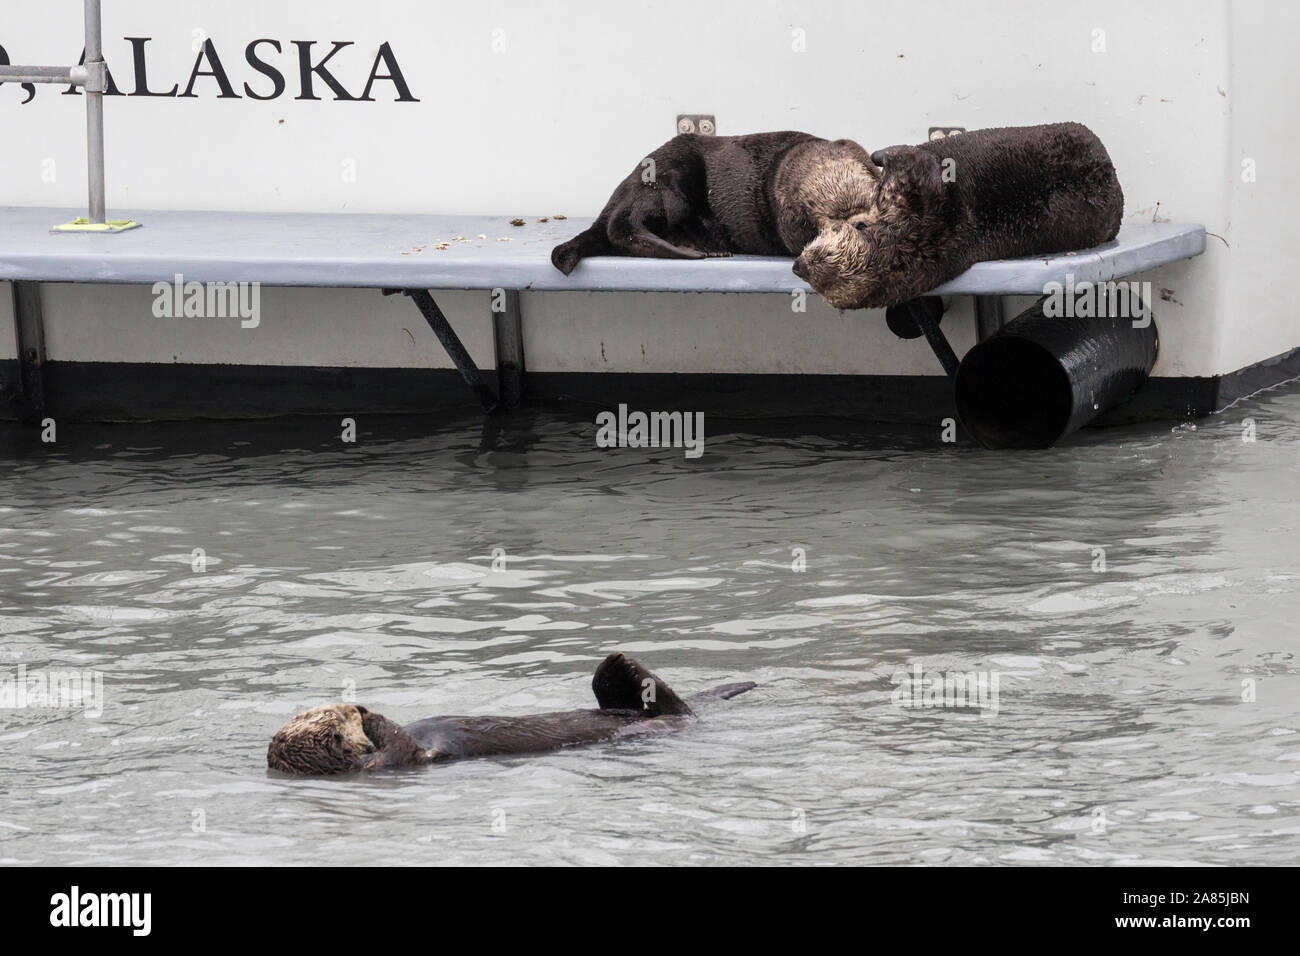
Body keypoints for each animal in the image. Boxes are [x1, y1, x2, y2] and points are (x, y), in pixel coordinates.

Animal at [267, 653, 756, 775]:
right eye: (339, 717)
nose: (354, 705)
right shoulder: (396, 760)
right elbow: (400, 746)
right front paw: (371, 719)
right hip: (672, 719)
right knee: (677, 708)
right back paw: (623, 665)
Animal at [550, 131, 880, 275]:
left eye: (869, 197)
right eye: (820, 218)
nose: (857, 222)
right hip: (666, 176)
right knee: (622, 228)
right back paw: (702, 250)